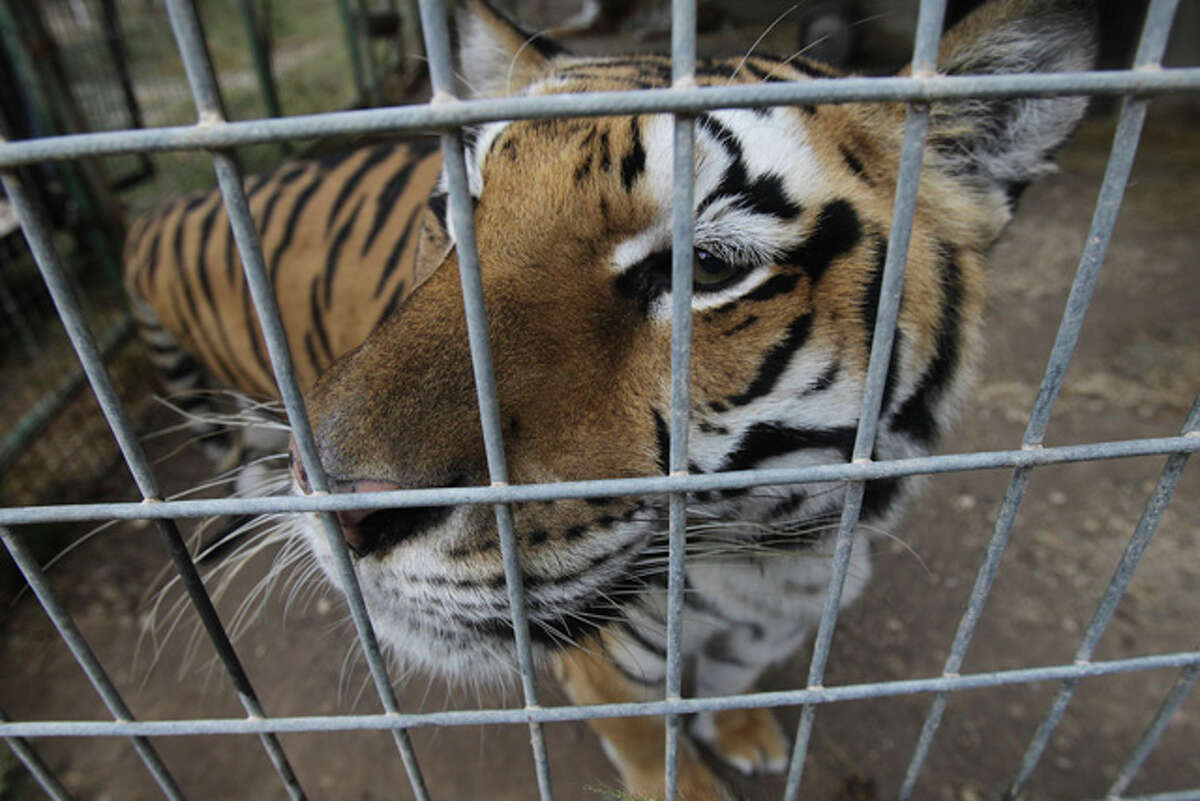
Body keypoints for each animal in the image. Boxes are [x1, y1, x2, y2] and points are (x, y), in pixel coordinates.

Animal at [130, 0, 1098, 798]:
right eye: (449, 214)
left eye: (707, 265)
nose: (335, 501)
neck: (773, 556)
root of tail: (163, 212)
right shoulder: (611, 674)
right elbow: (655, 759)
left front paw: (746, 733)